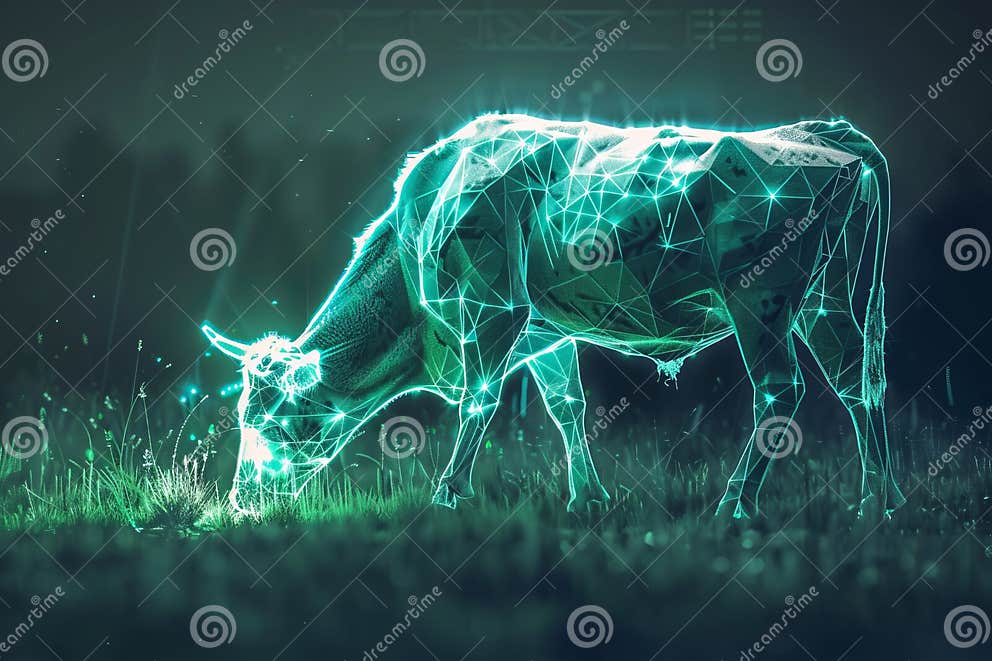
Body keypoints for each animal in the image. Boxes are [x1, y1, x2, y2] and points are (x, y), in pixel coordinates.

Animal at [203, 113, 905, 519]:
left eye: (269, 420)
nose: (240, 505)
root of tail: (823, 134)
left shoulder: (491, 306)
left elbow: (480, 399)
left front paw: (447, 494)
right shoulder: (545, 331)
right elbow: (567, 406)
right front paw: (588, 498)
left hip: (761, 299)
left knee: (781, 388)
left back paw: (737, 504)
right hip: (834, 296)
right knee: (861, 385)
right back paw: (880, 501)